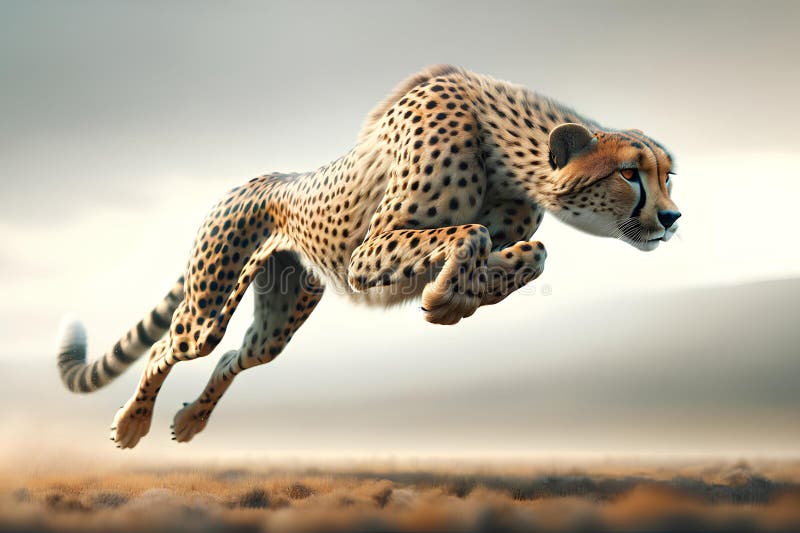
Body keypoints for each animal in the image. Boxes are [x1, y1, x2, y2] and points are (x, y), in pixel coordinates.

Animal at [55, 65, 680, 448]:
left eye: (667, 175)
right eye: (630, 173)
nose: (672, 219)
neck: (502, 146)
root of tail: (255, 180)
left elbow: (532, 252)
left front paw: (460, 297)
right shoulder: (367, 252)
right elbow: (473, 233)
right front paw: (444, 298)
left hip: (279, 318)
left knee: (237, 355)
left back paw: (191, 419)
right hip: (209, 302)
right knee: (170, 345)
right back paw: (133, 423)